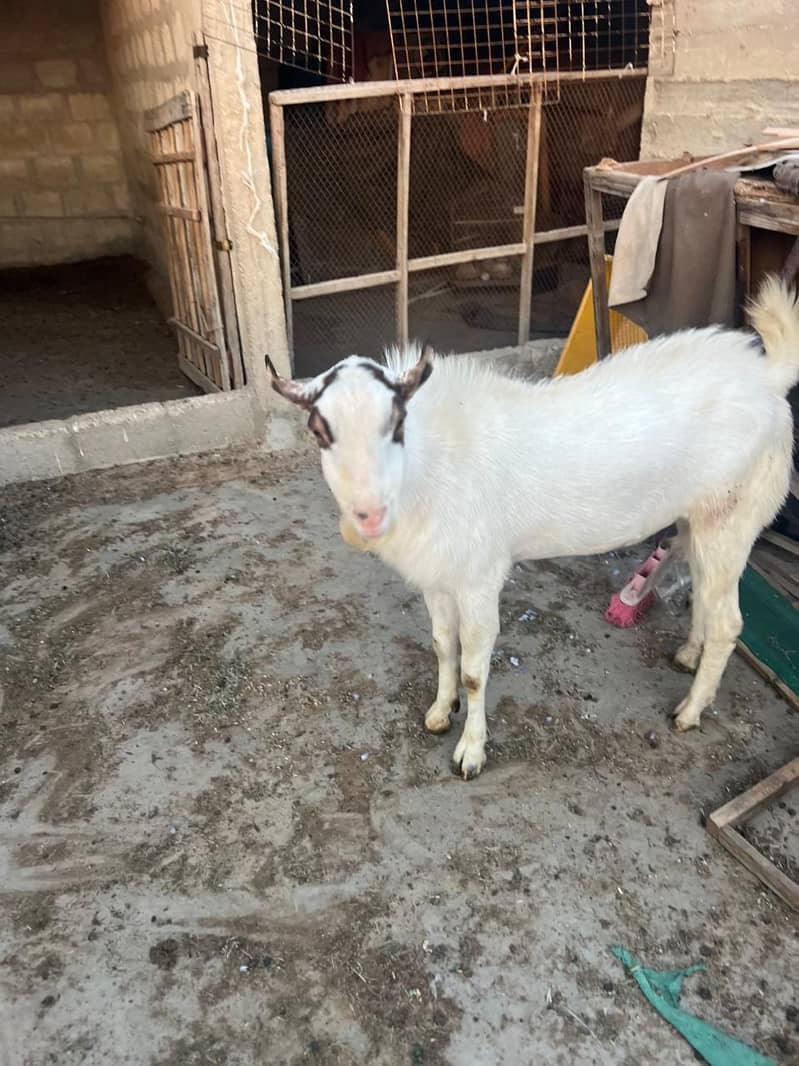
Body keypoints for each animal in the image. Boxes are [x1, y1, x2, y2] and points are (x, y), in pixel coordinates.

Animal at [269, 277, 799, 779]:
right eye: (319, 430)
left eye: (398, 423)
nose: (368, 517)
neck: (433, 463)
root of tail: (768, 377)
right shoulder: (437, 575)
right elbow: (442, 645)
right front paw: (440, 712)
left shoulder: (479, 577)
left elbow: (474, 669)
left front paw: (471, 752)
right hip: (698, 519)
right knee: (704, 596)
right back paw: (689, 655)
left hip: (732, 514)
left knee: (728, 621)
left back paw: (689, 711)